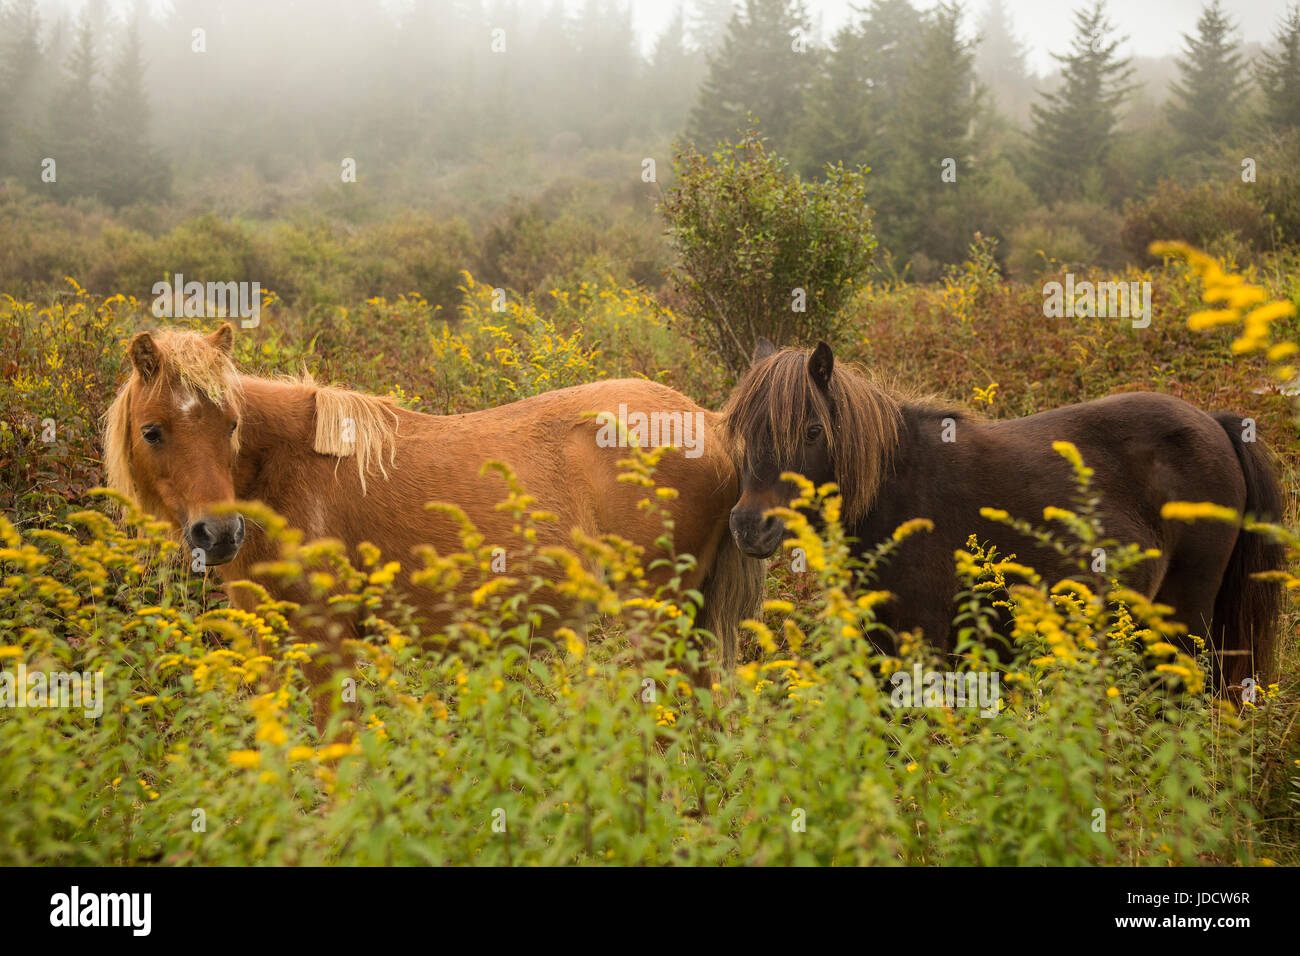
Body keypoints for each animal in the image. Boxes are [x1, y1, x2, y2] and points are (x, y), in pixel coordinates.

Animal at [102, 324, 763, 729]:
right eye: (153, 431)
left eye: (231, 424)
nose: (219, 534)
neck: (281, 468)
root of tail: (712, 422)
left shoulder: (326, 645)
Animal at [723, 338, 1285, 692]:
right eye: (741, 428)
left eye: (813, 431)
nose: (750, 527)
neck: (895, 488)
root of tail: (1213, 422)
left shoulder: (920, 642)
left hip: (1186, 617)